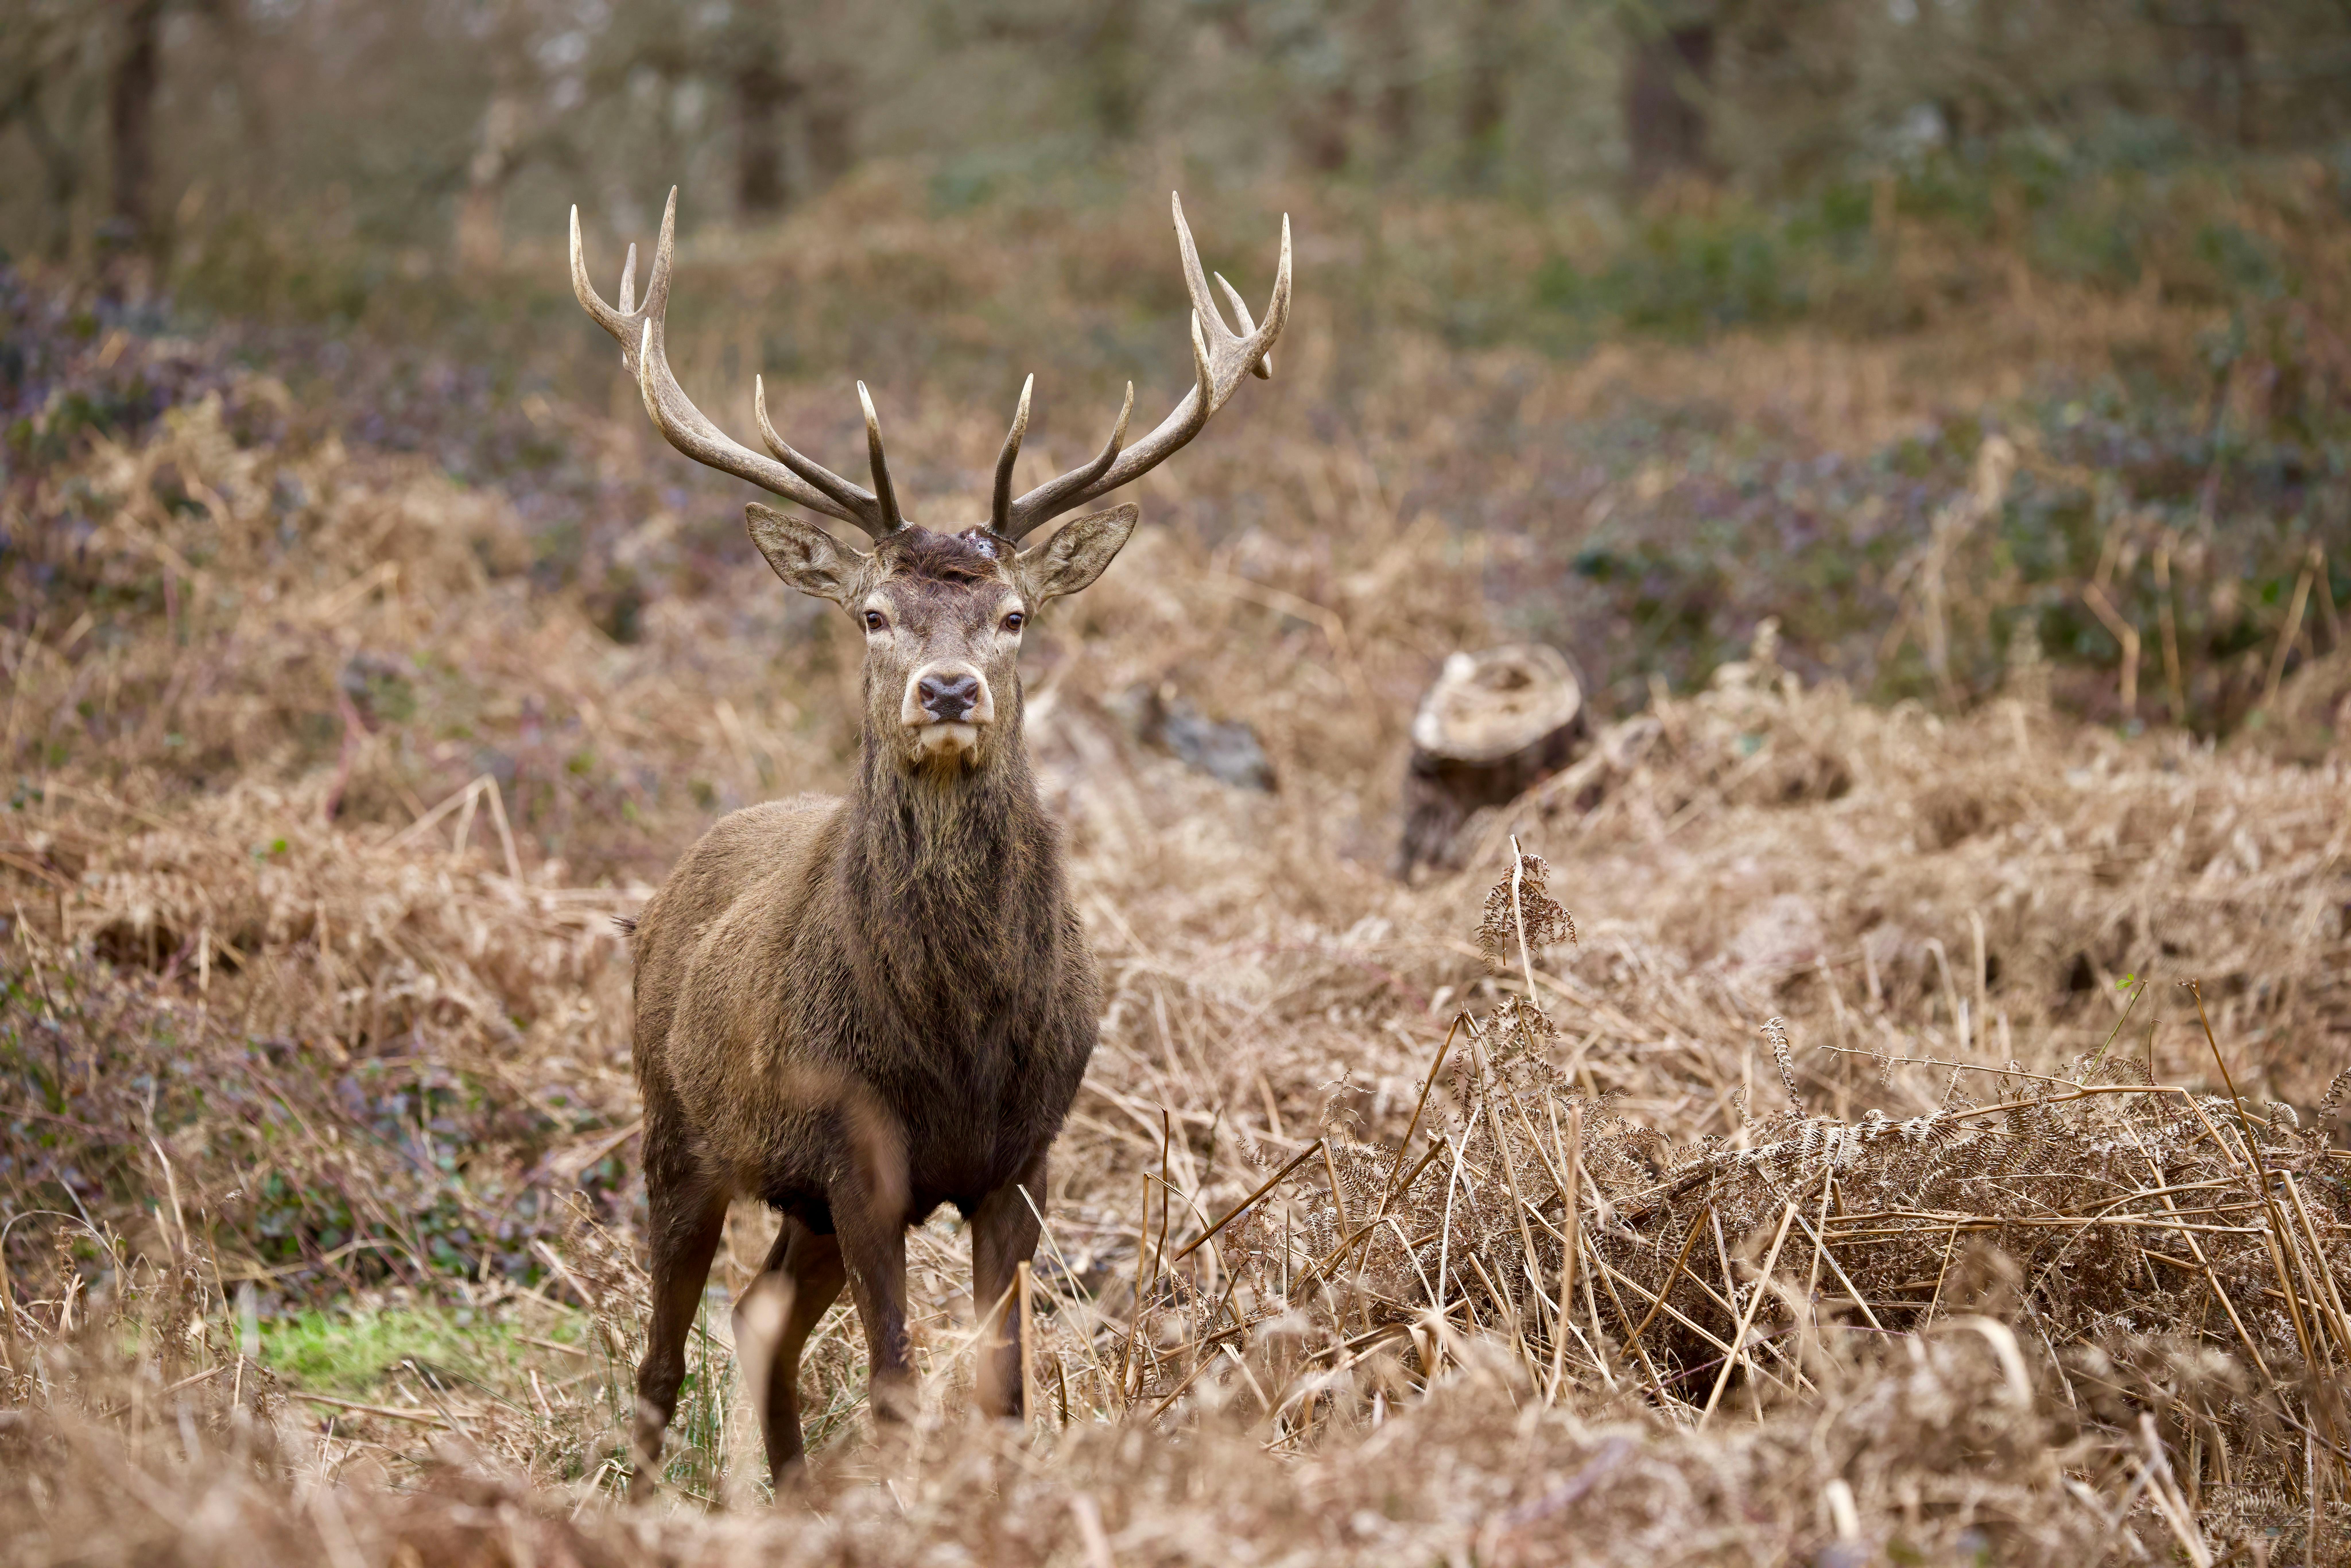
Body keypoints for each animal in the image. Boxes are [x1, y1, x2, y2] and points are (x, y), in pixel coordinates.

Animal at [567, 187, 1289, 1496]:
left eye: (1013, 616)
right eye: (871, 613)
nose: (948, 690)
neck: (955, 1040)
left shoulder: (1023, 1157)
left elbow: (1004, 1386)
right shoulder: (861, 1153)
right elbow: (899, 1384)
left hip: (792, 1199)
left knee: (758, 1314)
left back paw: (791, 1493)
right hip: (674, 1123)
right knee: (664, 1350)